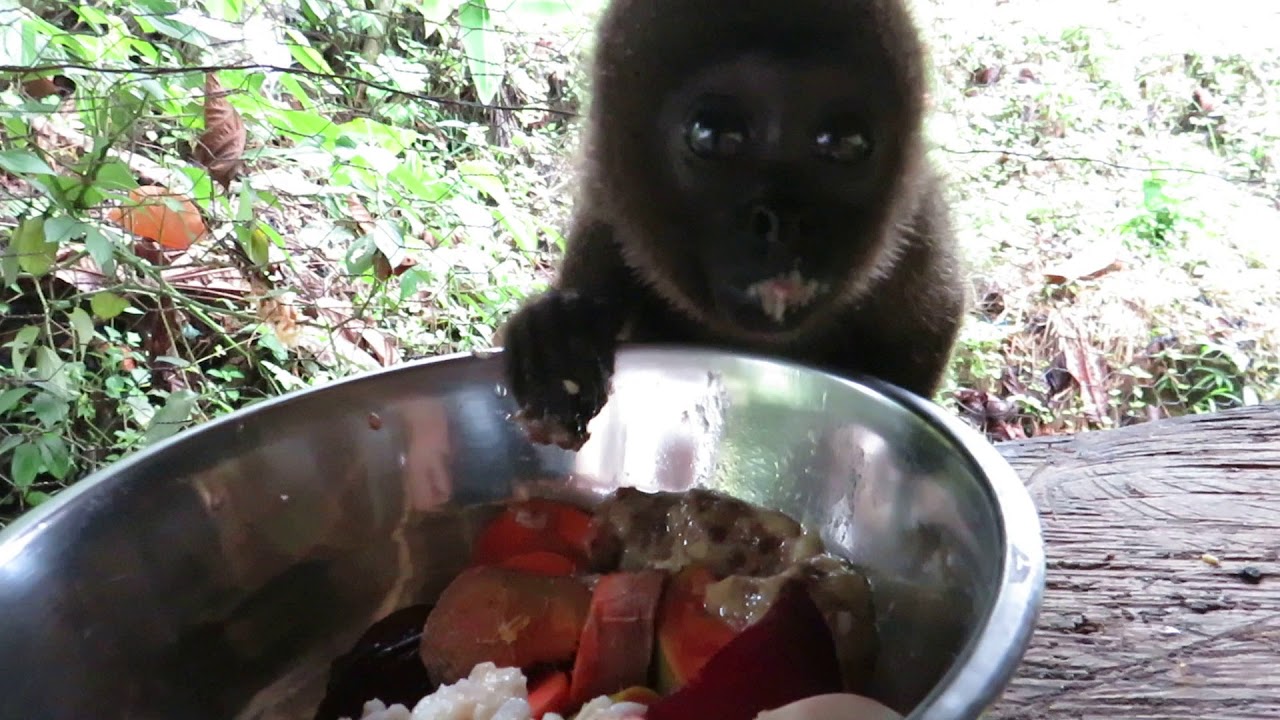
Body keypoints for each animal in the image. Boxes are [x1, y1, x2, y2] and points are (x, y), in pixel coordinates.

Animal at [498, 0, 967, 450]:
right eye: (712, 134)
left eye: (845, 142)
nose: (786, 220)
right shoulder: (606, 220)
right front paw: (559, 339)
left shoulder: (920, 237)